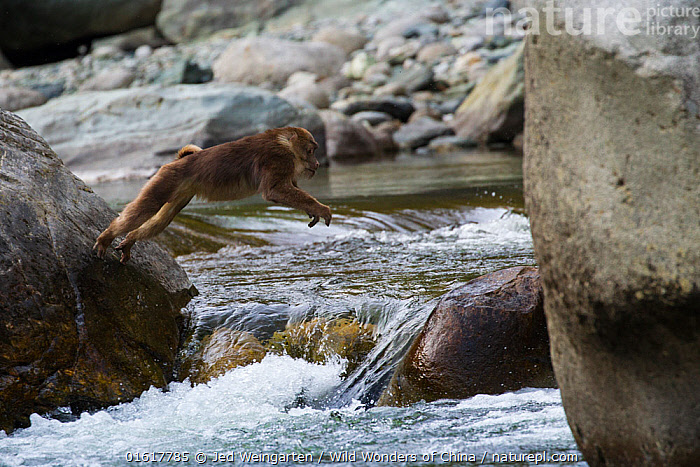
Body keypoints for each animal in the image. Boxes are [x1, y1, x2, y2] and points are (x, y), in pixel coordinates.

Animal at [93, 127, 331, 263]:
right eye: (311, 150)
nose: (317, 164)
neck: (284, 143)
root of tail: (178, 161)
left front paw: (312, 211)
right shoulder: (279, 159)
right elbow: (274, 191)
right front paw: (321, 209)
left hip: (181, 191)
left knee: (163, 218)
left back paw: (131, 238)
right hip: (167, 179)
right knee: (148, 207)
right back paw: (107, 237)